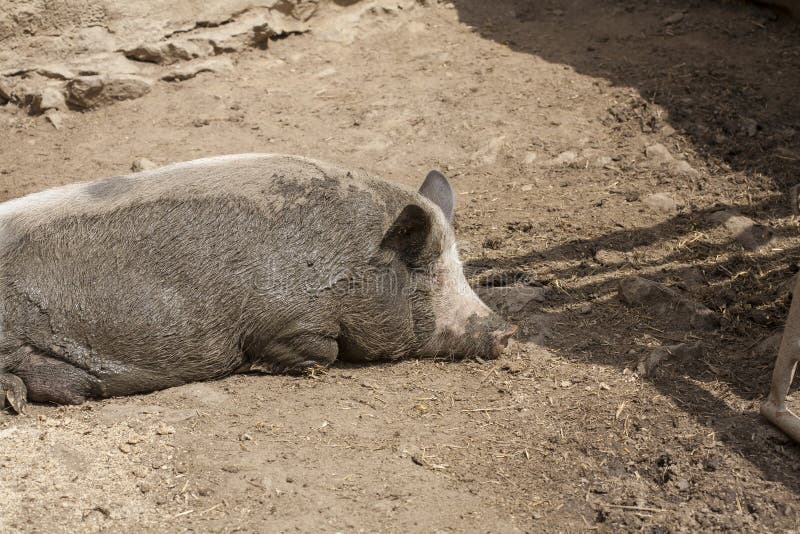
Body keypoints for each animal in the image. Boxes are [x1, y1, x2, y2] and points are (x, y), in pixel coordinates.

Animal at [0, 154, 517, 413]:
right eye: (426, 269)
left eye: (461, 264)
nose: (507, 330)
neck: (355, 258)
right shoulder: (284, 318)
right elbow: (321, 352)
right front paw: (258, 367)